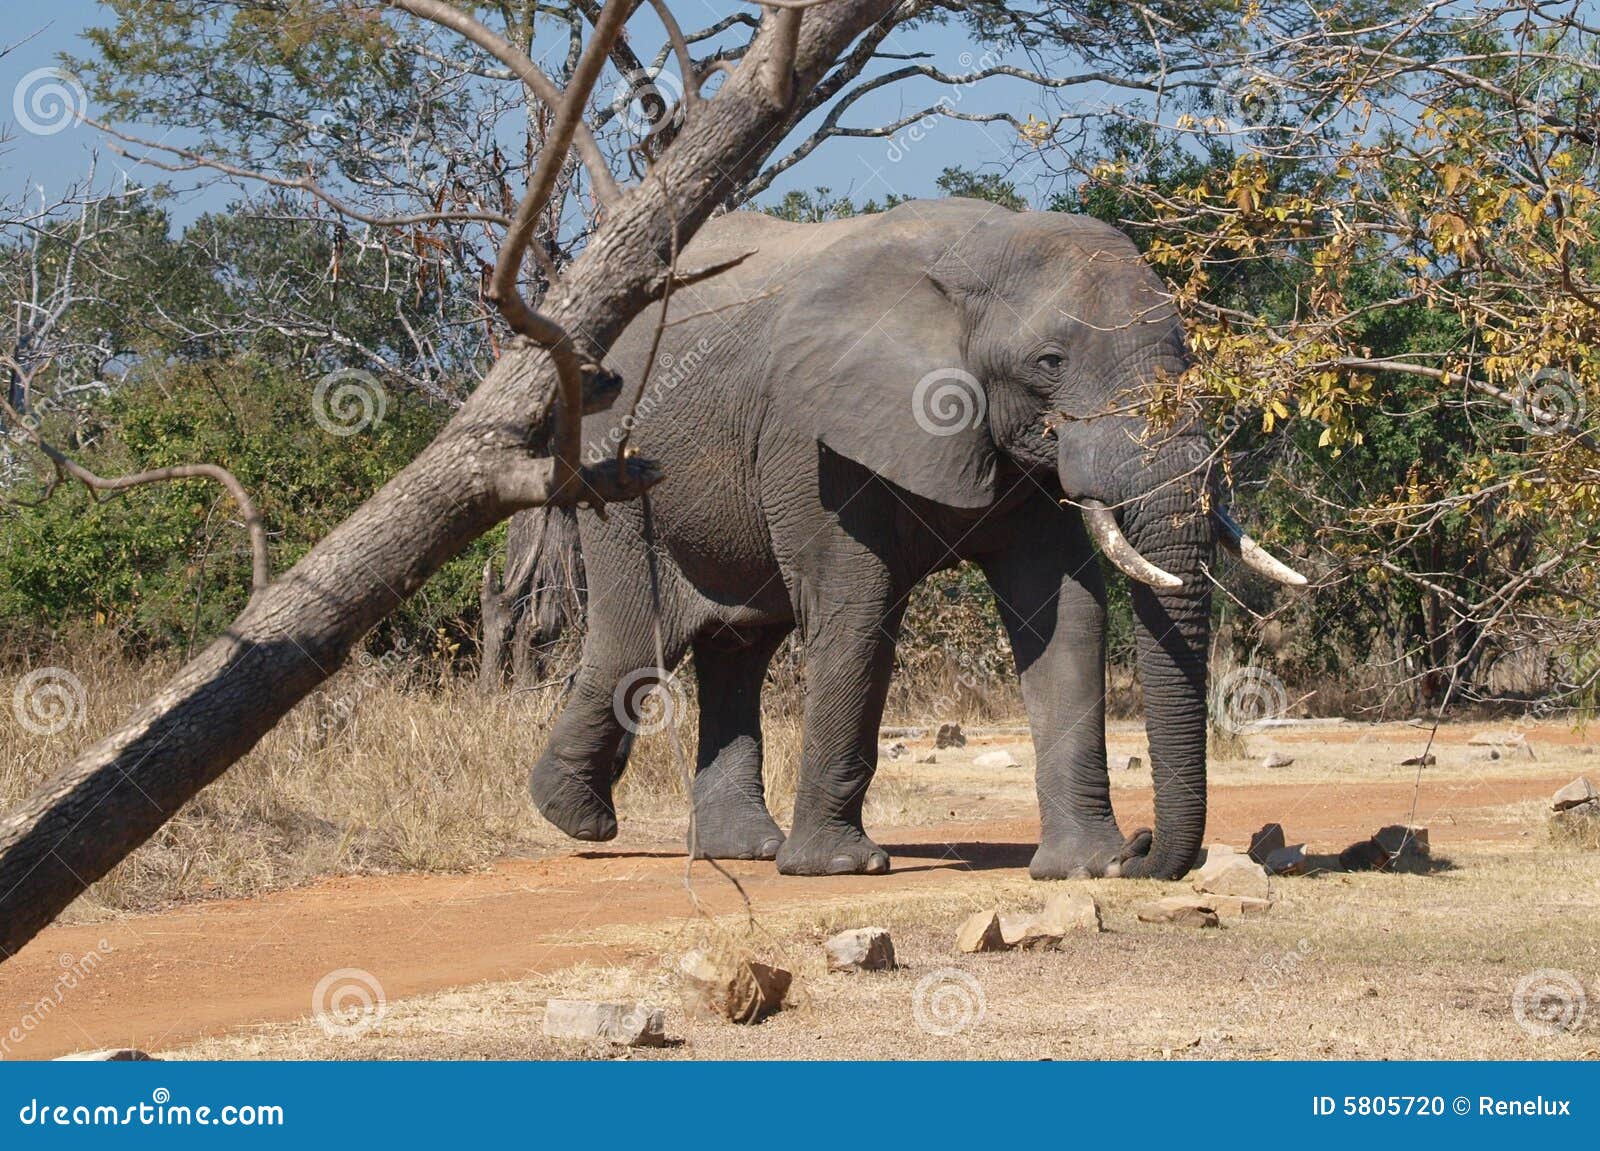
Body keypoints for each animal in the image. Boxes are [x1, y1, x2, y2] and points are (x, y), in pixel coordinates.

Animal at [528, 197, 1304, 879]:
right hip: (617, 469)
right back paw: (578, 818)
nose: (1143, 849)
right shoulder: (814, 433)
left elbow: (1066, 612)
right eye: (1051, 362)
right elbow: (858, 607)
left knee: (738, 649)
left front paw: (1086, 867)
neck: (983, 251)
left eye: (1187, 355)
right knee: (639, 636)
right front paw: (840, 868)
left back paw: (738, 849)